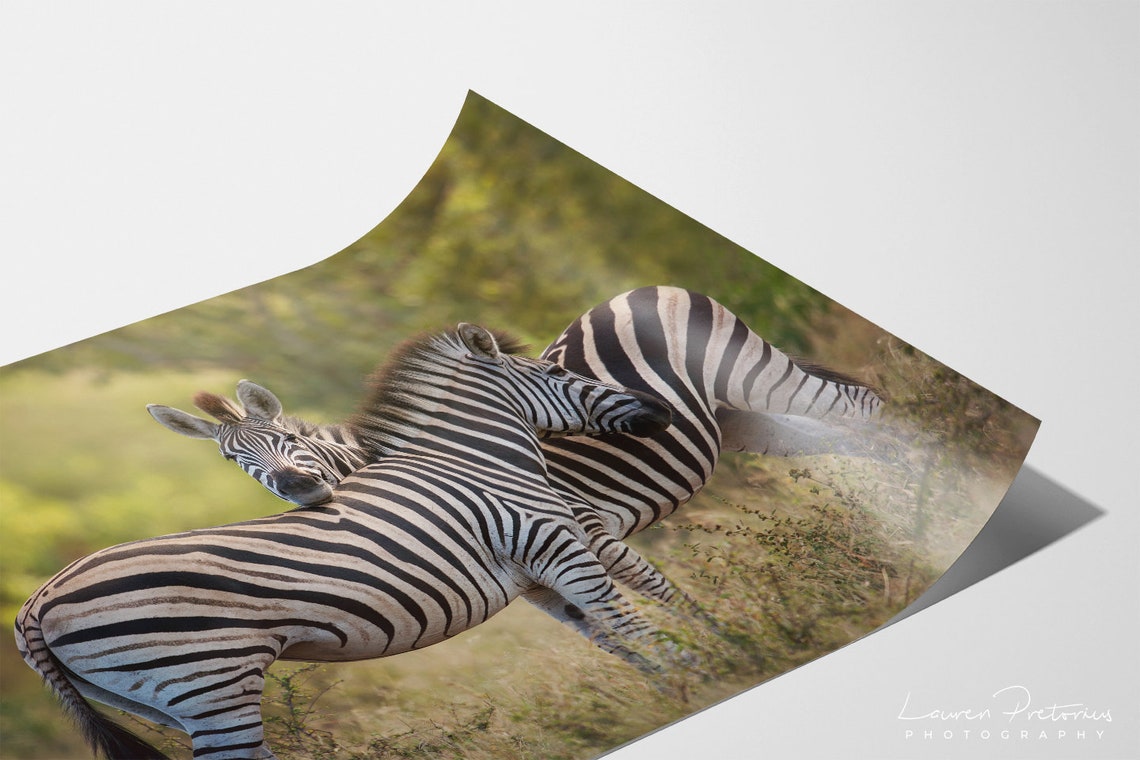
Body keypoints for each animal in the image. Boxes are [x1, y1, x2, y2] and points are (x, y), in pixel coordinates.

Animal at [15, 323, 688, 760]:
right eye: (555, 371)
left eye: (288, 440)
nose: (656, 411)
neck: (467, 459)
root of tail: (33, 608)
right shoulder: (555, 541)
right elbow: (640, 617)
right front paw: (702, 669)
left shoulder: (536, 572)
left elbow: (623, 633)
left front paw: (675, 684)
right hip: (208, 682)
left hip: (163, 704)